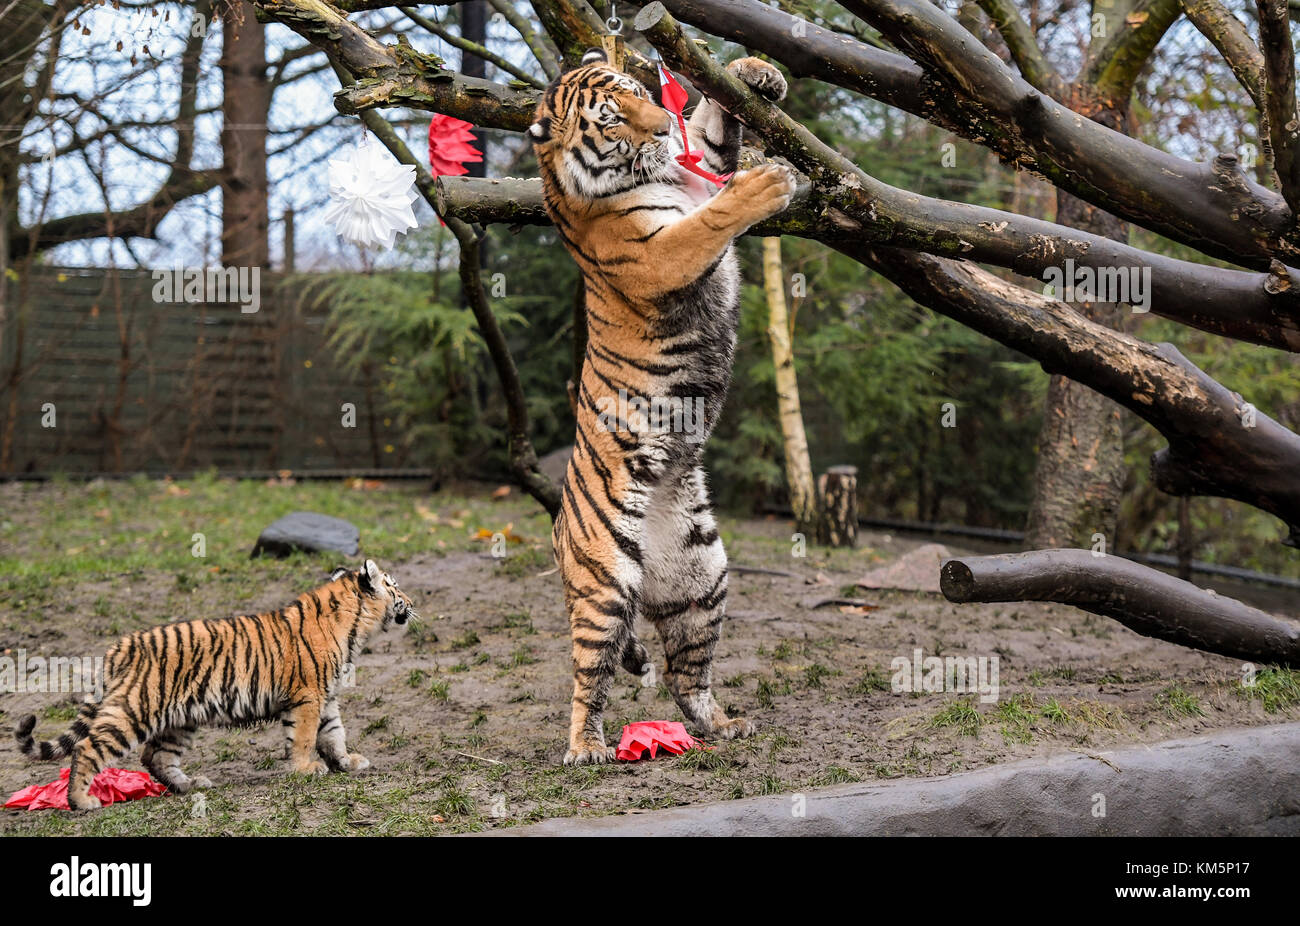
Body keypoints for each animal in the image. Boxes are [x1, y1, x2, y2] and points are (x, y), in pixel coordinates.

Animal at [13, 559, 415, 810]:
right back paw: (81, 802)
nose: (412, 602)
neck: (354, 626)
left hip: (179, 720)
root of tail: (121, 645)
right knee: (88, 748)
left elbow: (334, 734)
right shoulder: (307, 697)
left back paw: (191, 786)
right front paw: (307, 769)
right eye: (395, 586)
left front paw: (347, 762)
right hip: (133, 710)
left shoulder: (325, 698)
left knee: (155, 756)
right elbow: (303, 737)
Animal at [528, 48, 795, 765]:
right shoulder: (658, 254)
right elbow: (712, 218)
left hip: (701, 577)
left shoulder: (696, 166)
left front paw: (755, 72)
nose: (657, 128)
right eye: (612, 118)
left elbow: (709, 129)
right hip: (603, 585)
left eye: (640, 91)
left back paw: (721, 724)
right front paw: (769, 182)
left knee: (685, 675)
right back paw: (587, 749)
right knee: (587, 676)